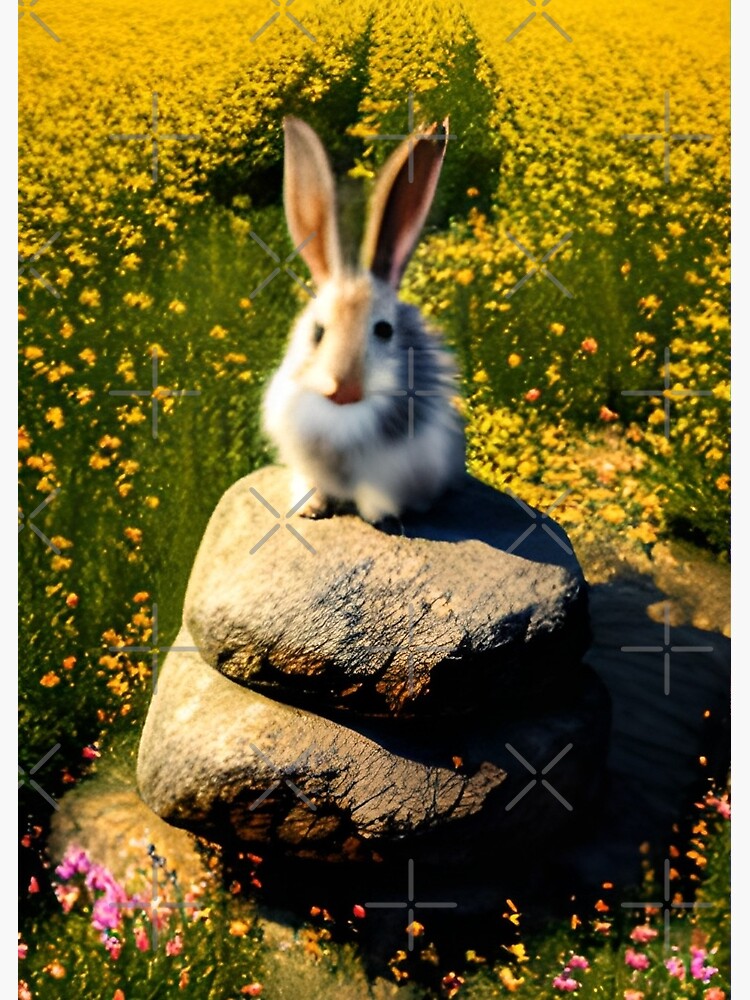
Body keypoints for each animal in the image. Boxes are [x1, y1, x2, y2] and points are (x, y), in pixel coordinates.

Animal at [262, 115, 466, 525]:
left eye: (384, 330)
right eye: (318, 332)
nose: (343, 390)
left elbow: (379, 493)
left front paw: (381, 516)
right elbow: (310, 482)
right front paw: (309, 510)